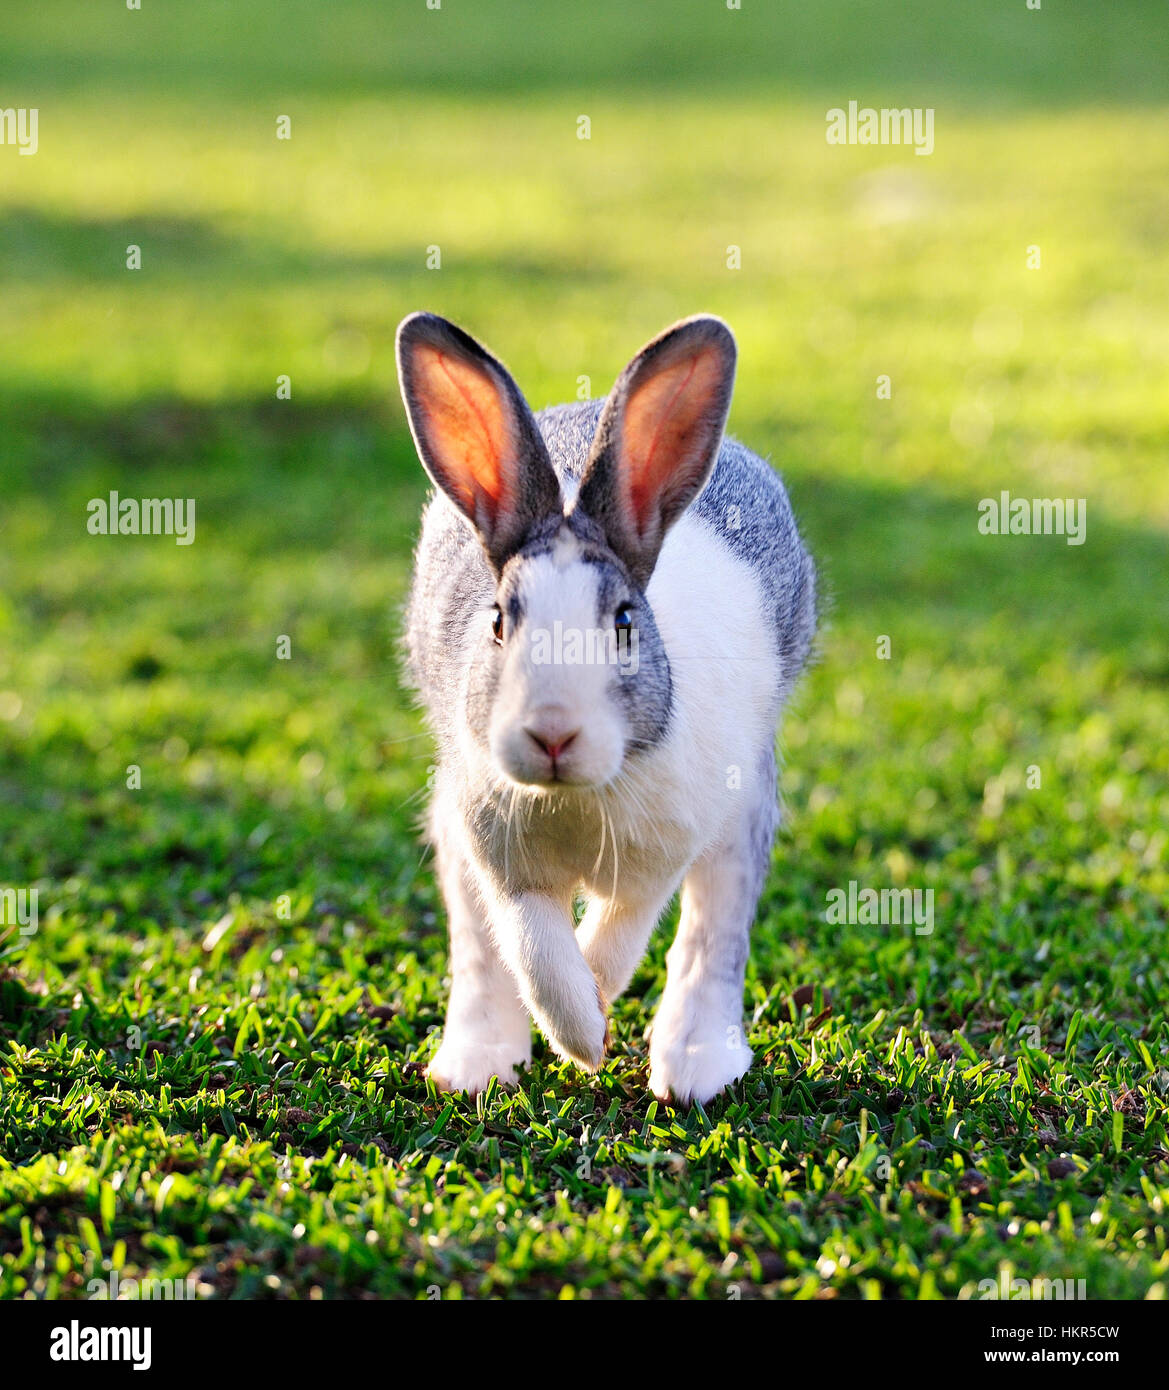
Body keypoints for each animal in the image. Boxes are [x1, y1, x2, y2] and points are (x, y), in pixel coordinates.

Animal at [397, 311, 816, 1104]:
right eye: (498, 622)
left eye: (624, 621)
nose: (552, 734)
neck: (575, 794)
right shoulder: (503, 859)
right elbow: (536, 952)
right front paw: (582, 1035)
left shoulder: (662, 853)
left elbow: (623, 930)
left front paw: (598, 1000)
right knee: (480, 948)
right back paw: (474, 1067)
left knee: (712, 928)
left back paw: (695, 1069)